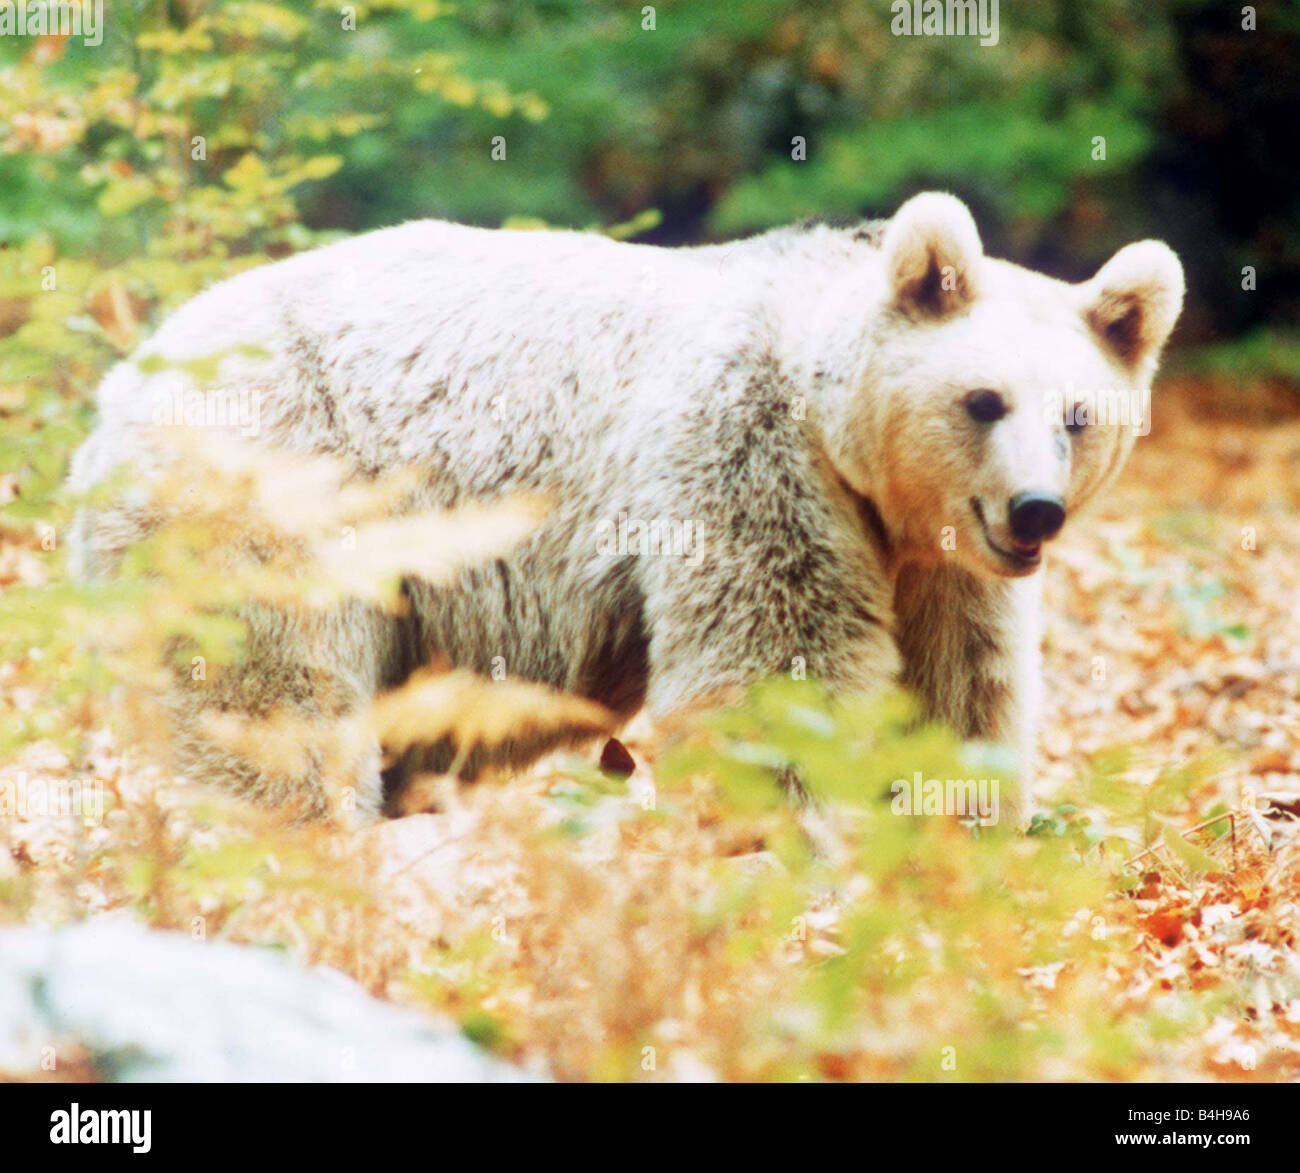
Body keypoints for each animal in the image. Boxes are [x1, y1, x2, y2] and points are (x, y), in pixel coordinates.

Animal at [67, 192, 1184, 823]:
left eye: (1079, 415)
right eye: (983, 399)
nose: (1034, 512)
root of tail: (120, 383)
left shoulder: (941, 560)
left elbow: (960, 692)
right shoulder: (752, 461)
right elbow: (775, 672)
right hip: (277, 491)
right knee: (271, 703)